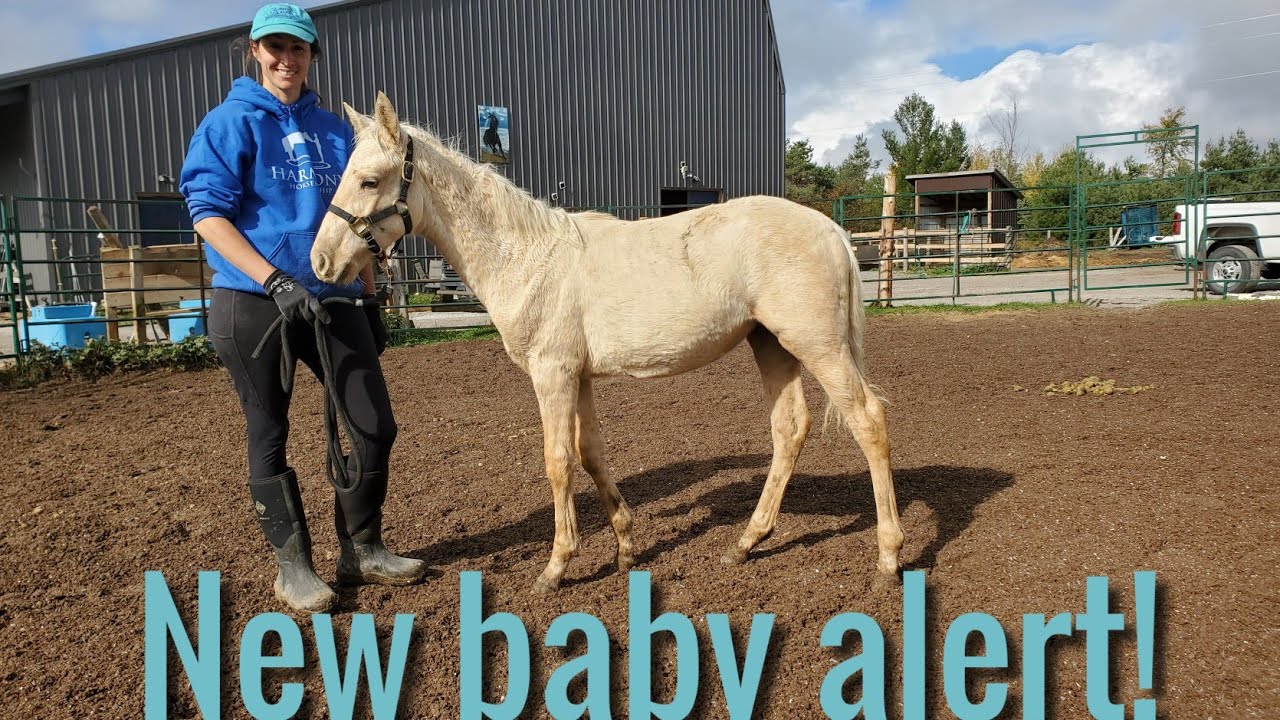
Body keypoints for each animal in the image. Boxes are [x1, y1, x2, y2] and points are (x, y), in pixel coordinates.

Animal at [313, 93, 904, 594]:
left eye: (369, 180)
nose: (320, 263)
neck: (528, 256)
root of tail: (831, 230)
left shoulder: (552, 374)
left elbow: (557, 461)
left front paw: (555, 568)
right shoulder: (579, 377)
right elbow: (591, 454)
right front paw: (624, 549)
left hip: (818, 346)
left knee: (869, 421)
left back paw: (889, 556)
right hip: (772, 345)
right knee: (790, 428)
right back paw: (746, 542)